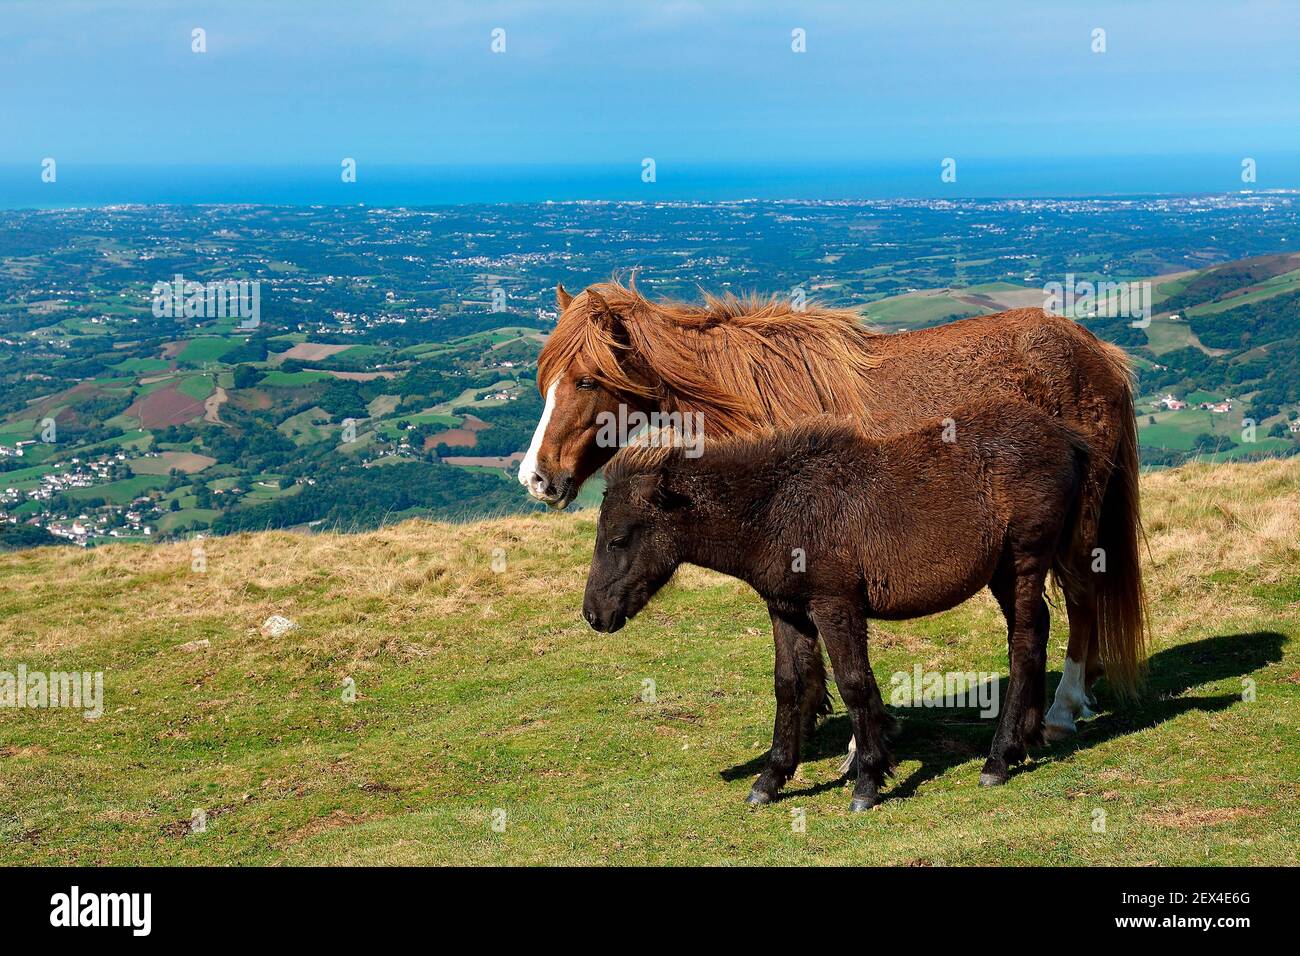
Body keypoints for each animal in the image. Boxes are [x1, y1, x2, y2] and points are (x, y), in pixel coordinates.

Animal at [522, 279, 1146, 741]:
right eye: (545, 381)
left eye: (586, 379)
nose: (536, 477)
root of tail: (1099, 352)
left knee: (1082, 591)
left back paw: (1064, 706)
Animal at [582, 402, 1092, 810]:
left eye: (619, 538)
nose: (593, 614)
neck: (778, 509)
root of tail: (1063, 434)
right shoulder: (787, 610)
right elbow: (789, 685)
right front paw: (770, 779)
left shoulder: (836, 606)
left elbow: (854, 684)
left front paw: (867, 781)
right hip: (1005, 575)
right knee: (1036, 635)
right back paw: (1025, 739)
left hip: (1022, 563)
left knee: (1024, 645)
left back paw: (998, 758)